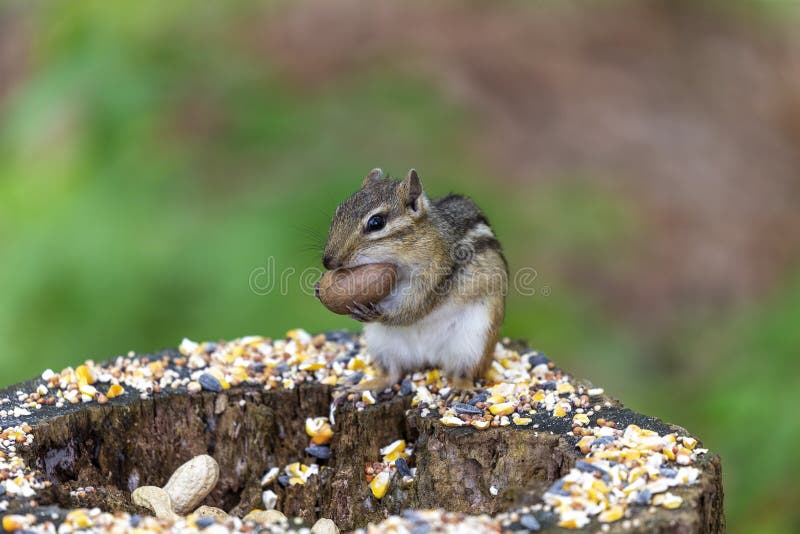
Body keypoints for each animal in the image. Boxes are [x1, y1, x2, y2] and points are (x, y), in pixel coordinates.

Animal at [322, 168, 508, 391]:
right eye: (338, 212)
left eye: (376, 222)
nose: (327, 261)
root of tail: (427, 358)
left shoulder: (436, 278)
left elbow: (414, 309)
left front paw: (380, 314)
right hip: (382, 345)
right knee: (392, 374)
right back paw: (364, 386)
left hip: (475, 341)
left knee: (465, 372)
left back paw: (462, 388)